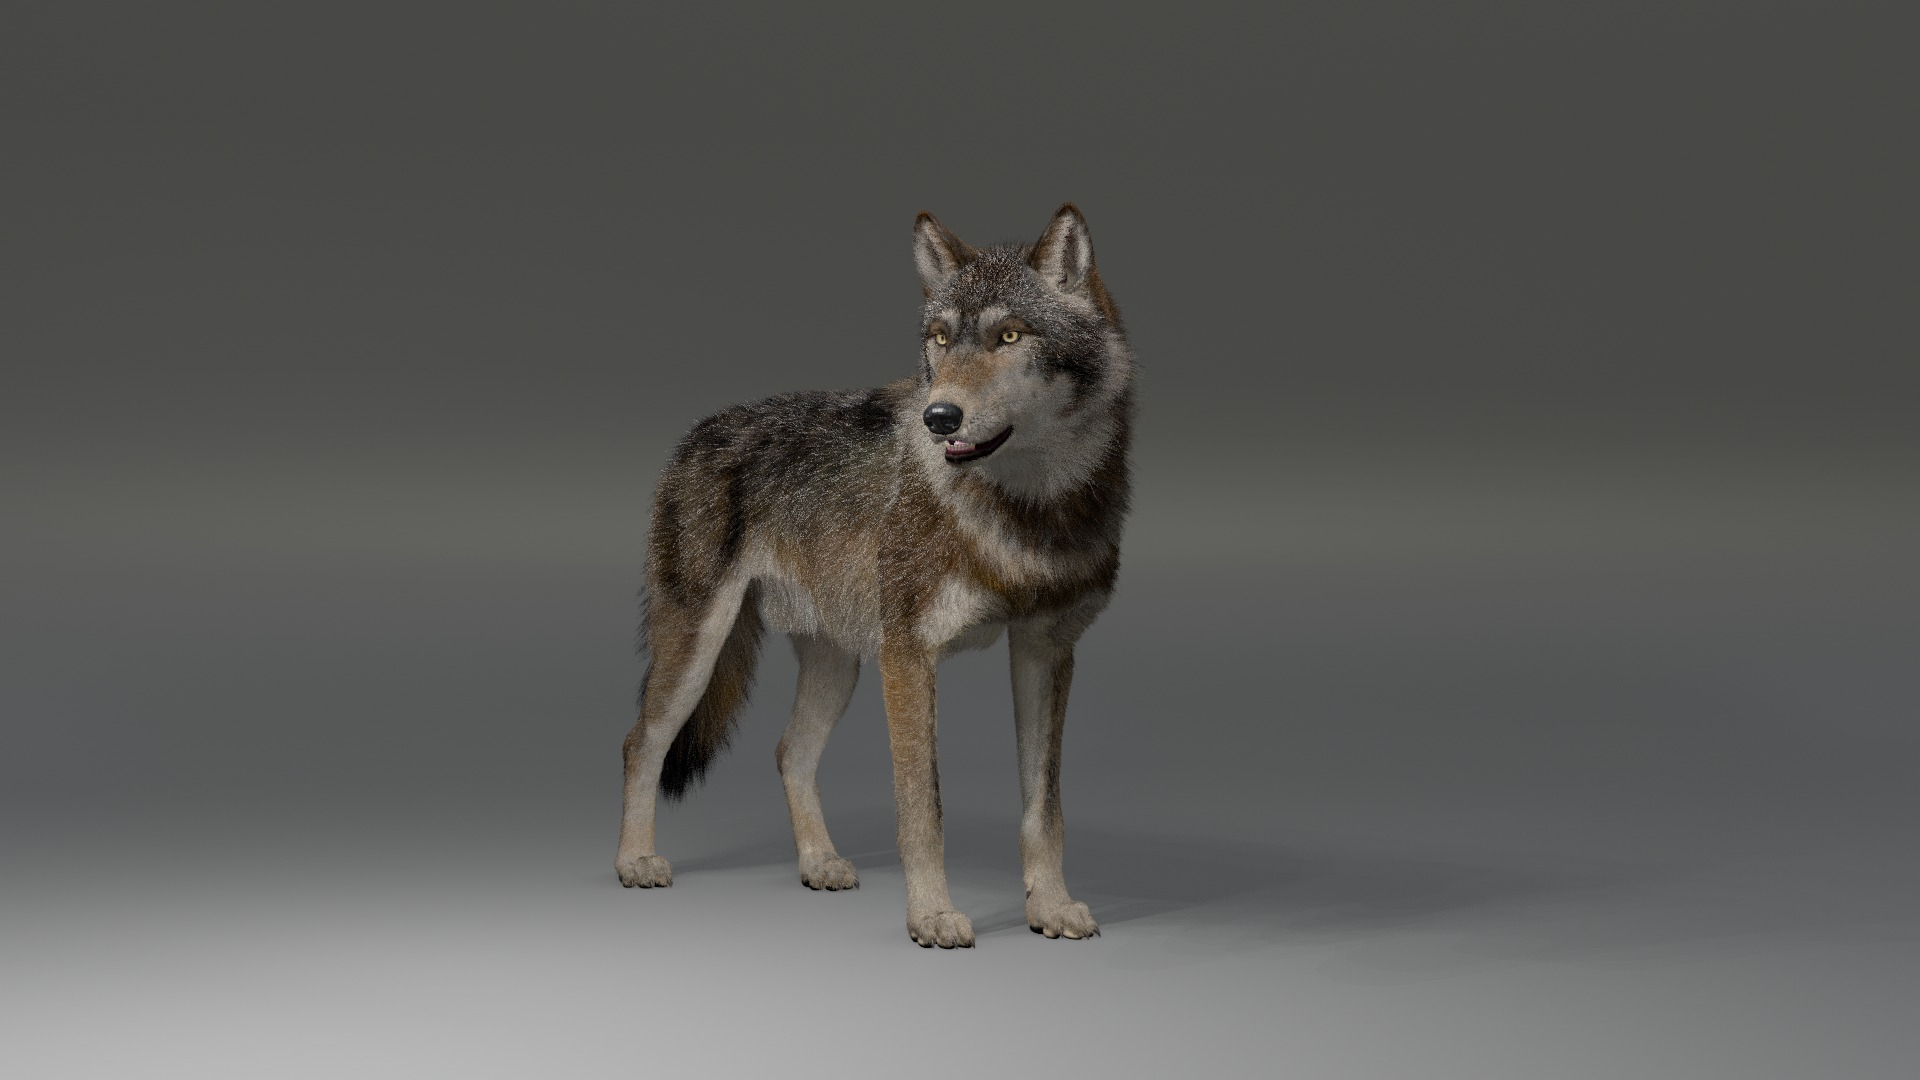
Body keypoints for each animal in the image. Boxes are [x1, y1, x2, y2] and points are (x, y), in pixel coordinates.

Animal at [616, 204, 1135, 948]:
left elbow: (1044, 809)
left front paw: (1051, 907)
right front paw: (932, 916)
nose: (939, 416)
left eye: (1008, 336)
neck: (1032, 511)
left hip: (840, 666)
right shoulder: (909, 656)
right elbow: (923, 808)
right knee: (642, 744)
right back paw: (634, 862)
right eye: (940, 340)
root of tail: (697, 431)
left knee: (789, 752)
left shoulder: (1044, 650)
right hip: (699, 649)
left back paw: (818, 862)